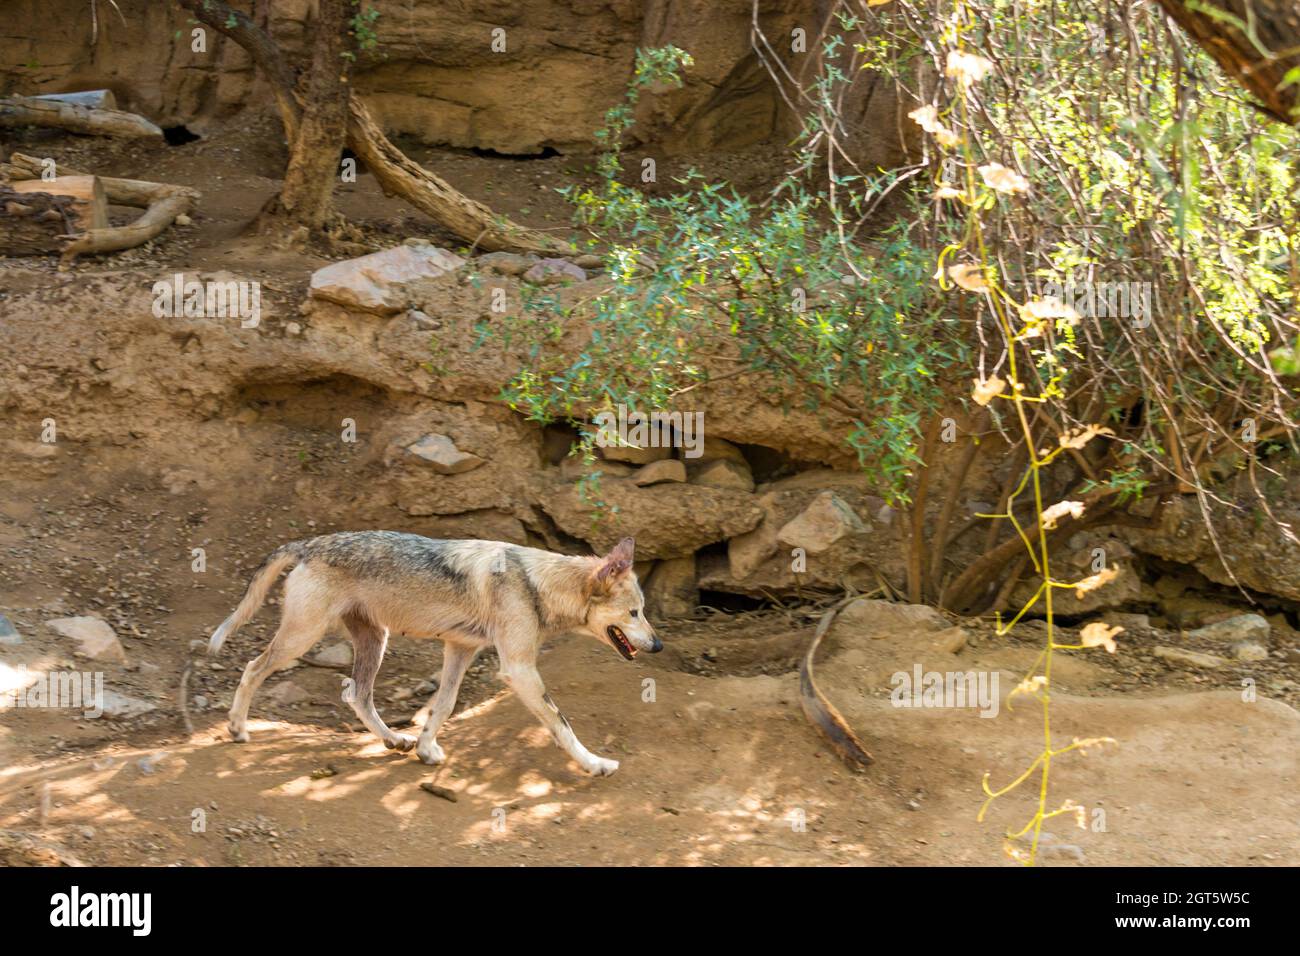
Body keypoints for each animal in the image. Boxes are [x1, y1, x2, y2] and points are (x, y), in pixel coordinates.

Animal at [207, 532, 659, 776]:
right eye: (634, 612)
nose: (659, 645)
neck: (535, 584)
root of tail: (307, 544)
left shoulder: (461, 649)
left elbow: (443, 706)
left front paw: (425, 749)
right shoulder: (518, 670)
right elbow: (561, 724)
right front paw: (594, 763)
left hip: (375, 641)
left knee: (357, 695)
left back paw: (395, 740)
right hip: (302, 639)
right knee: (253, 668)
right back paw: (237, 728)